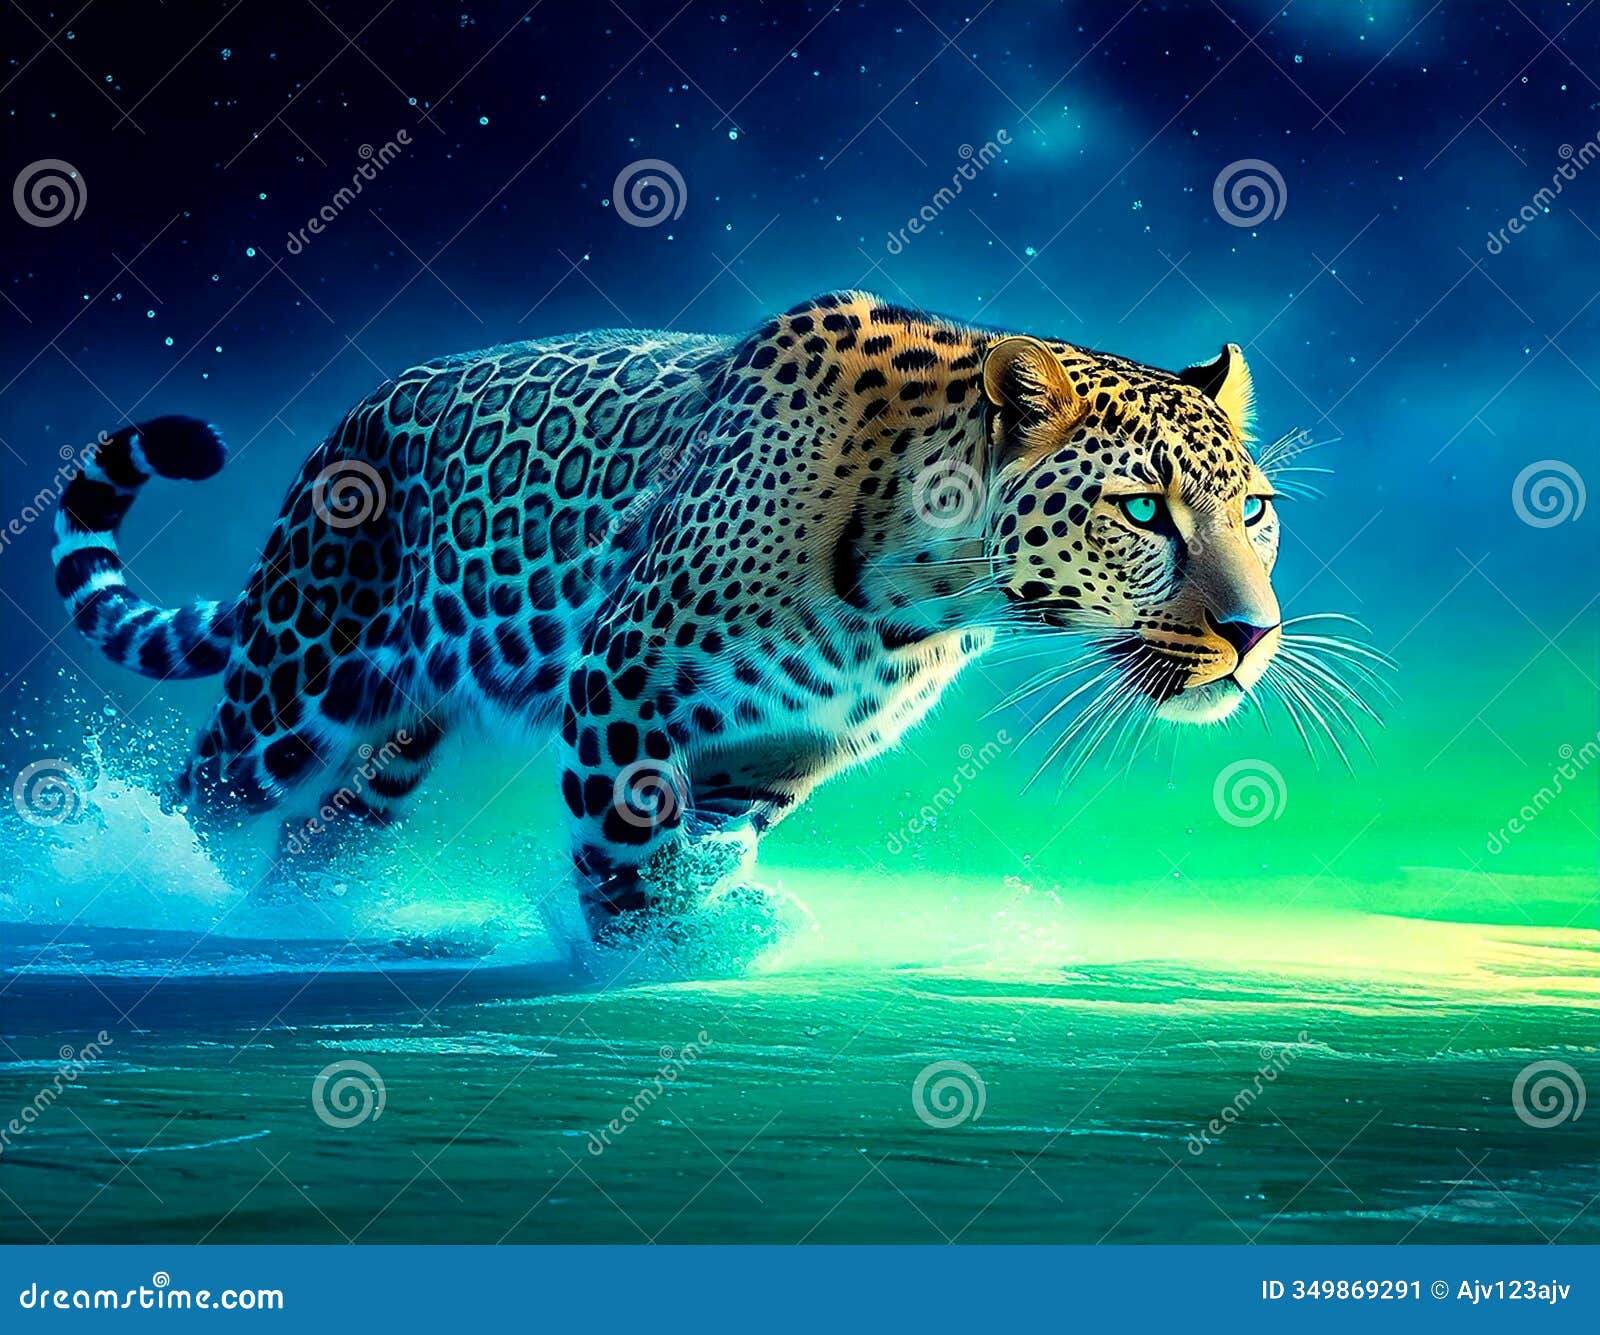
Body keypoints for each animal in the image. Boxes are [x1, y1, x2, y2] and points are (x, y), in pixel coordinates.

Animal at [52, 291, 1311, 944]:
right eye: (1142, 510)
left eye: (1252, 510)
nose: (1253, 635)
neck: (929, 592)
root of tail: (341, 422)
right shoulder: (621, 679)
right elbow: (625, 833)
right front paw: (640, 951)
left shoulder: (785, 740)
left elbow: (704, 839)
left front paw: (713, 904)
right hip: (296, 681)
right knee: (210, 788)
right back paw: (153, 902)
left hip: (400, 729)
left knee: (327, 829)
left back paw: (294, 923)